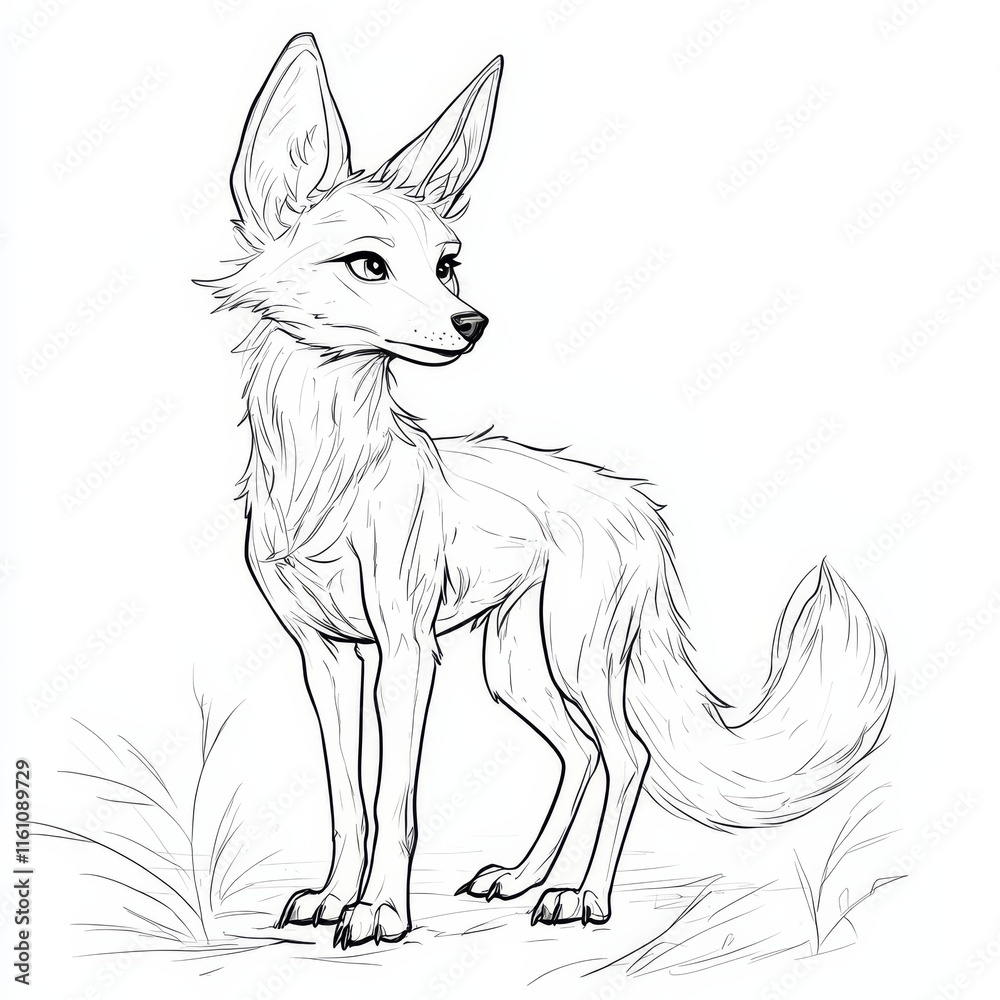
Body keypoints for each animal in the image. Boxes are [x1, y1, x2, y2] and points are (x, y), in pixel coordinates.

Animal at [201, 33, 893, 949]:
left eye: (447, 265)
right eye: (368, 264)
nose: (472, 323)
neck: (326, 470)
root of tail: (635, 505)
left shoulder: (406, 653)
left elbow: (395, 800)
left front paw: (381, 911)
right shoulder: (327, 659)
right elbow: (348, 797)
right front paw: (331, 898)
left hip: (576, 654)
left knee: (626, 754)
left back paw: (581, 896)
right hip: (518, 668)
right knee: (580, 752)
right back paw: (527, 877)